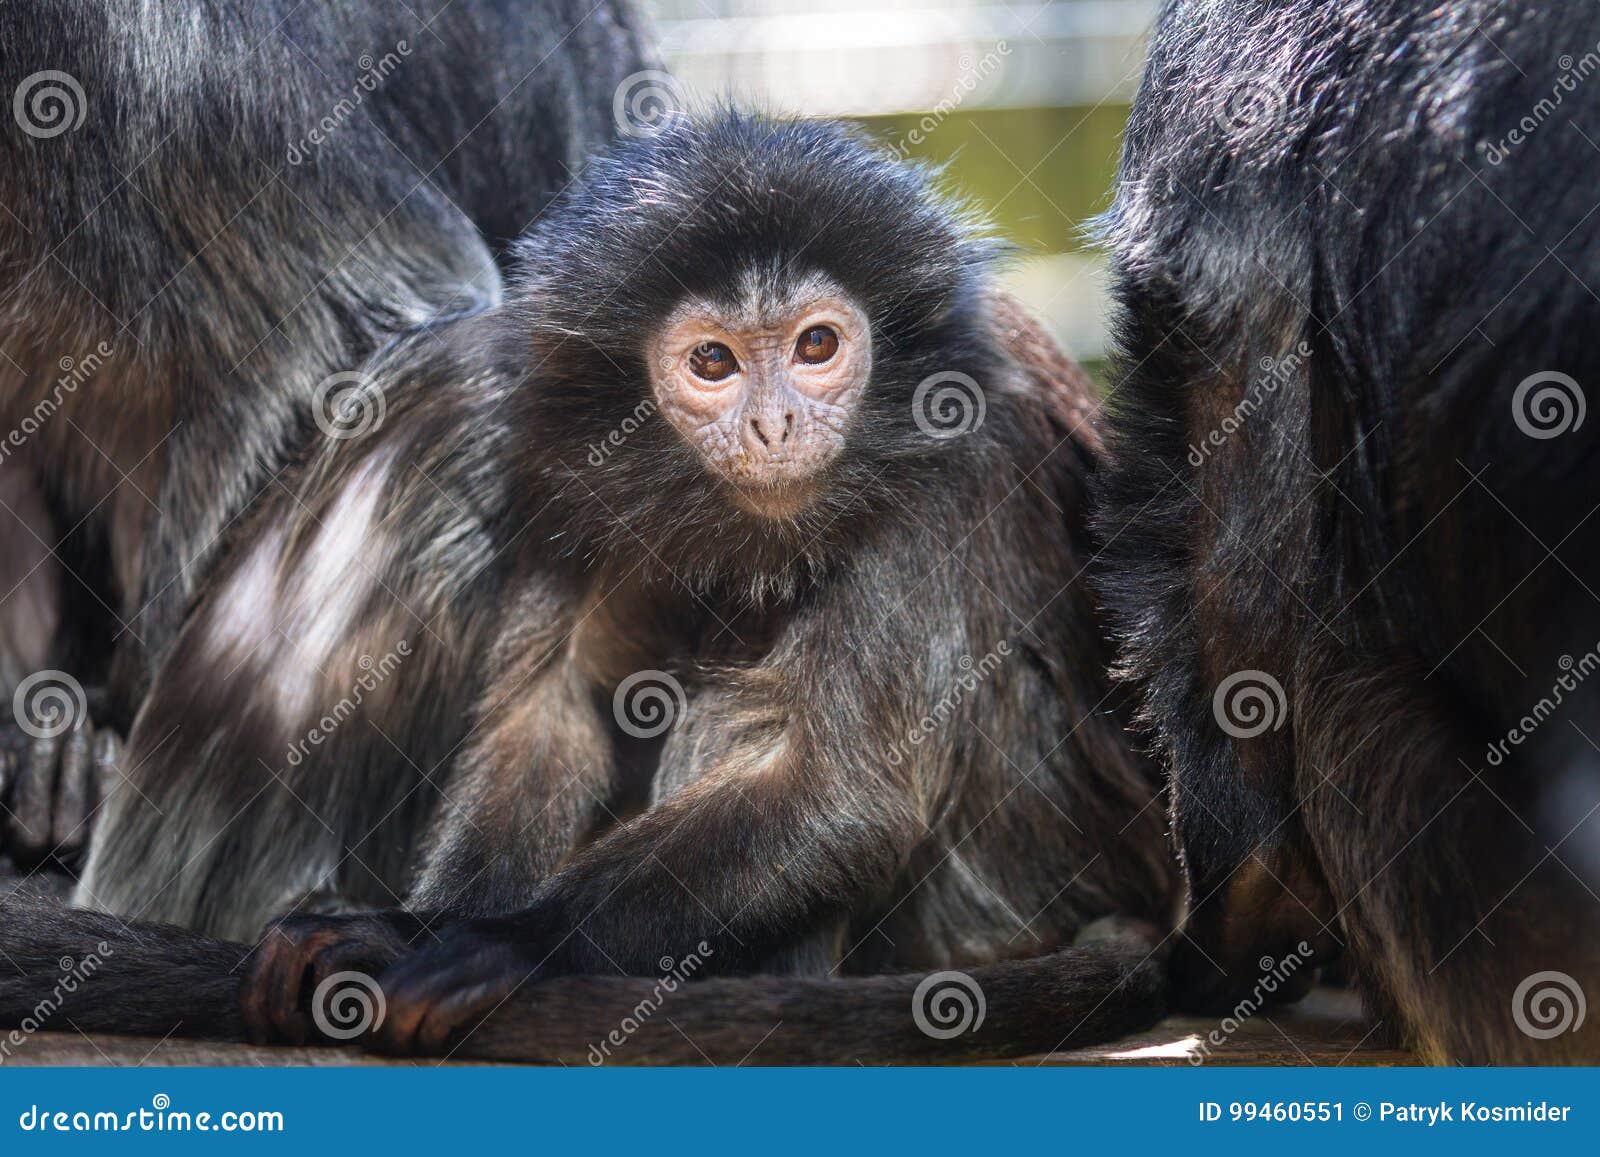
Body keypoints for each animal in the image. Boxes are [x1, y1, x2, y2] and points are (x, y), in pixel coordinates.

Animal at [0, 112, 1177, 1063]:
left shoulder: (954, 458)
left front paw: (499, 942)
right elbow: (551, 706)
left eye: (817, 345)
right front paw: (418, 927)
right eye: (713, 363)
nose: (776, 423)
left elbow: (841, 785)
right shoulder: (557, 452)